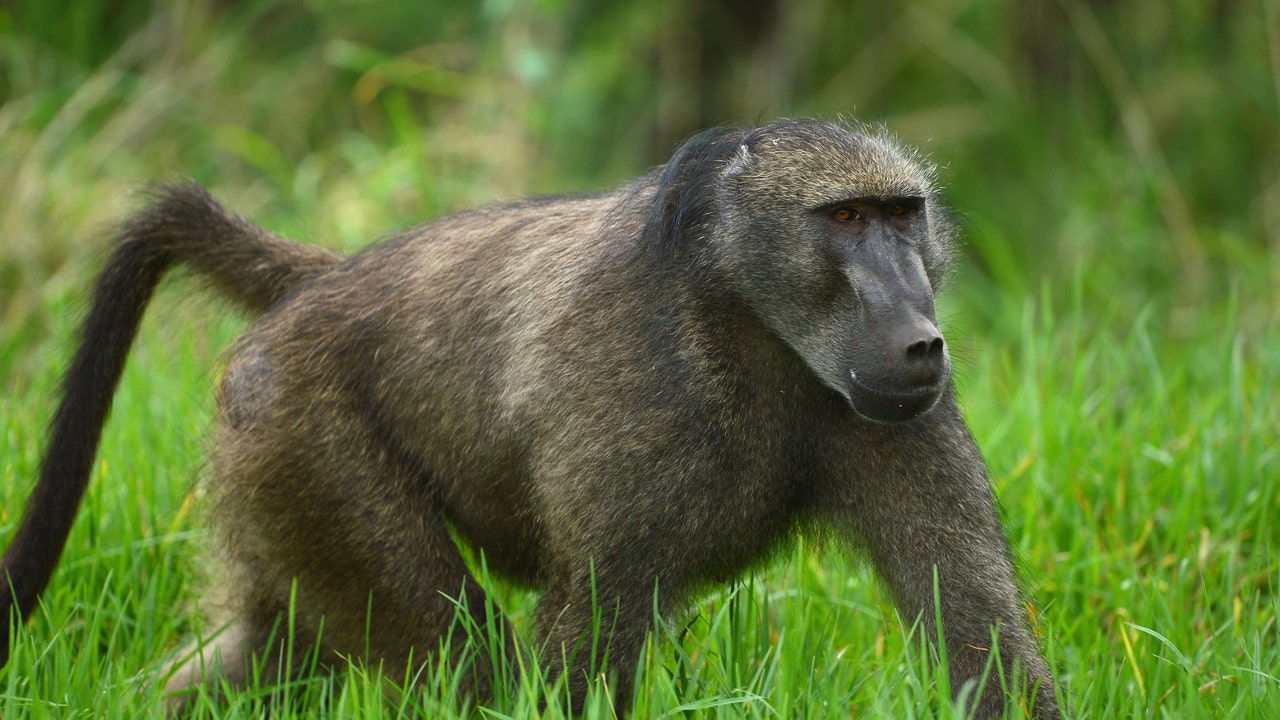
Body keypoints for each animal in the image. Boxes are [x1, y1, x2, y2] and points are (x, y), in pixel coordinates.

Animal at [1, 119, 1062, 718]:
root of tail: (324, 280)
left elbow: (986, 646)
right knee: (455, 658)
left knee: (271, 643)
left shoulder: (905, 417)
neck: (745, 315)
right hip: (304, 434)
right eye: (844, 220)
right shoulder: (637, 417)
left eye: (903, 215)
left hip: (274, 475)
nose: (921, 338)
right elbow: (577, 648)